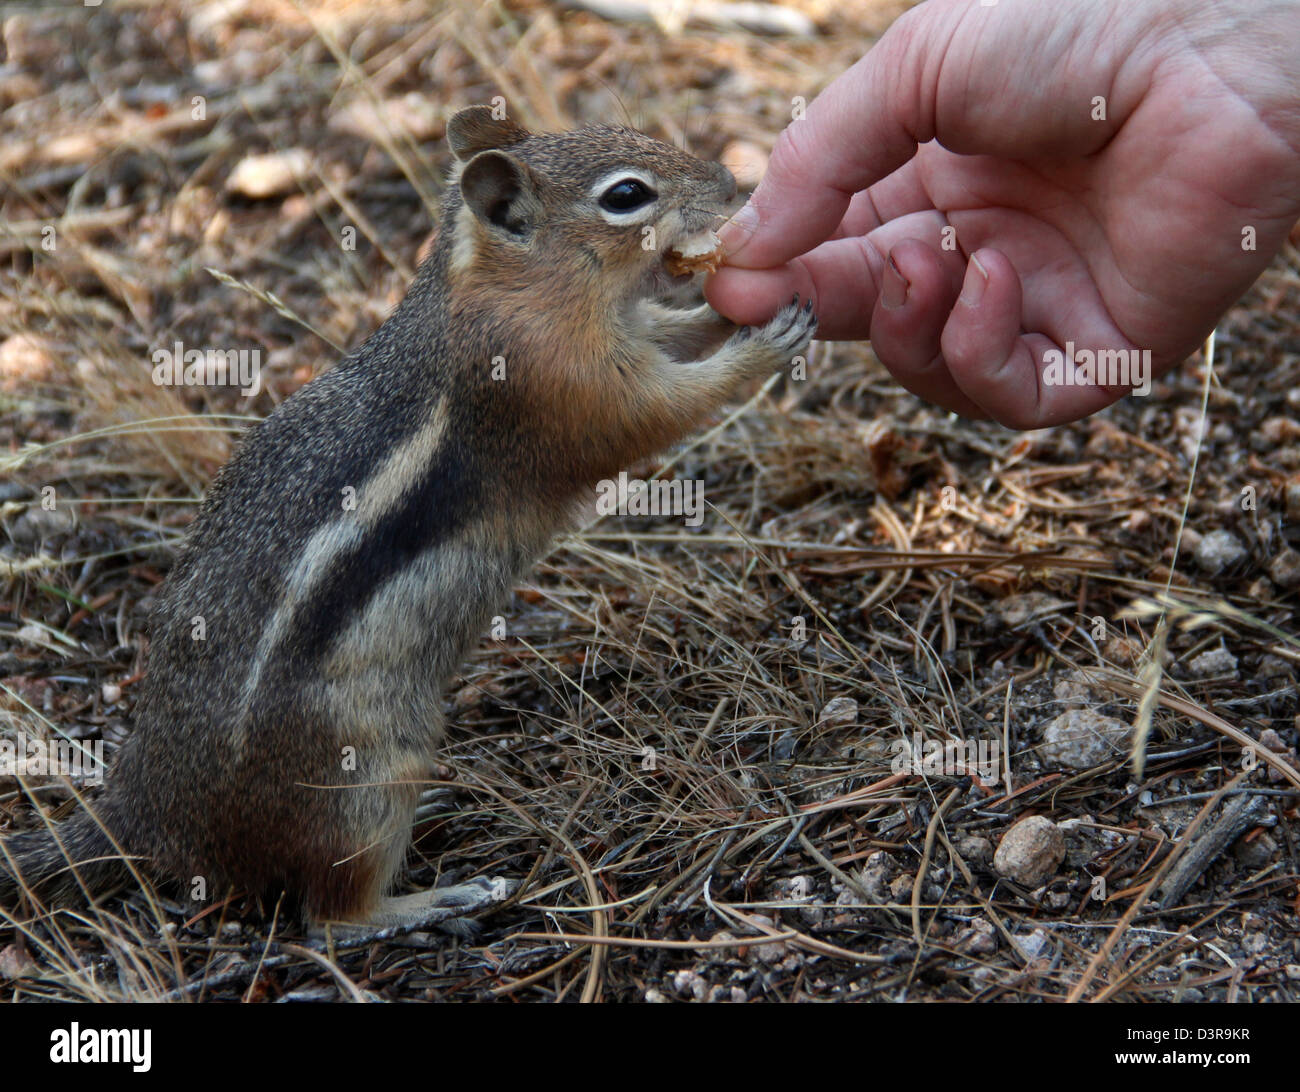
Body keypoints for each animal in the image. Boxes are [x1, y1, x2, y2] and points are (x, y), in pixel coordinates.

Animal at [0, 107, 816, 930]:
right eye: (626, 196)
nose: (730, 182)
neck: (498, 286)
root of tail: (148, 808)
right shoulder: (551, 380)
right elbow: (651, 410)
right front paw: (760, 345)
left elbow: (670, 337)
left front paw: (725, 308)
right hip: (363, 776)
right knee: (331, 913)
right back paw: (434, 899)